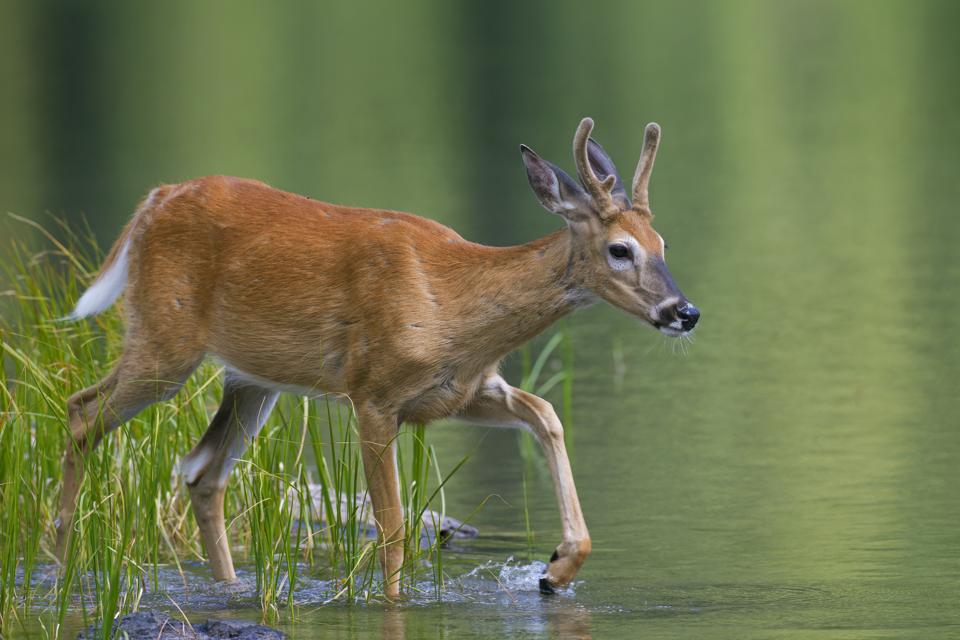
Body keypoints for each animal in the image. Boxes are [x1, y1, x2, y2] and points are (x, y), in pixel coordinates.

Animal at [55, 117, 699, 597]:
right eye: (621, 249)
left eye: (664, 244)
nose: (684, 311)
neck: (453, 303)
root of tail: (152, 202)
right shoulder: (374, 392)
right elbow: (392, 526)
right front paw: (397, 602)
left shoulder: (460, 390)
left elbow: (546, 412)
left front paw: (557, 567)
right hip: (164, 340)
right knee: (83, 411)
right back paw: (59, 563)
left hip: (251, 379)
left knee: (201, 470)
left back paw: (228, 584)